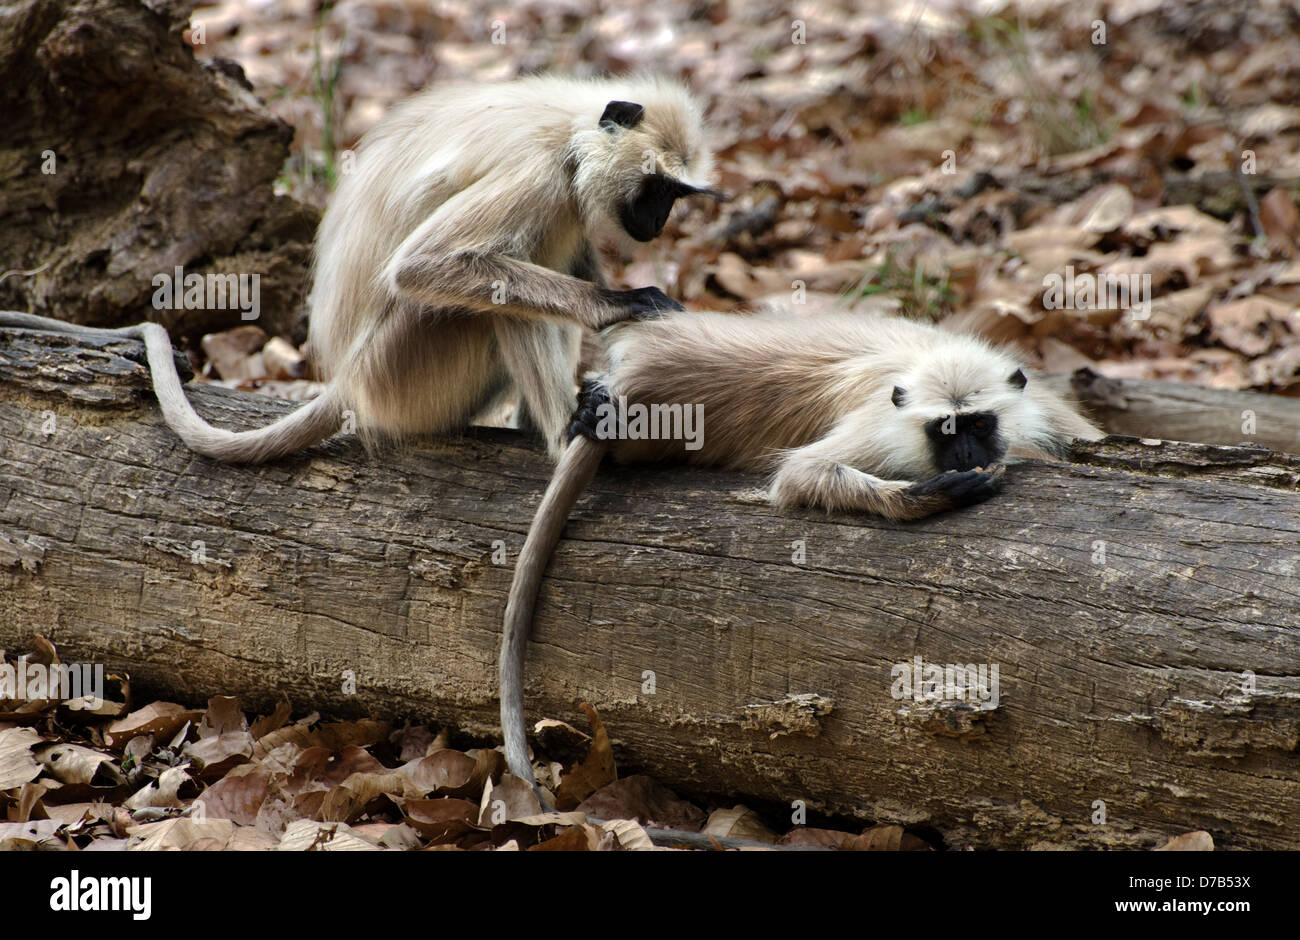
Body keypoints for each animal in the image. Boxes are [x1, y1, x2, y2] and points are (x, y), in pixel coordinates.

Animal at [0, 75, 717, 463]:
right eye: (658, 189)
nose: (658, 221)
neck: (572, 133)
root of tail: (347, 381)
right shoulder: (540, 173)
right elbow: (423, 267)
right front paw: (625, 304)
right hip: (402, 364)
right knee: (492, 295)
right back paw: (564, 437)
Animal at [500, 309, 1103, 797]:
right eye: (946, 429)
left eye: (977, 423)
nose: (967, 452)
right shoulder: (882, 424)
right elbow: (799, 475)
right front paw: (930, 495)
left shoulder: (1039, 408)